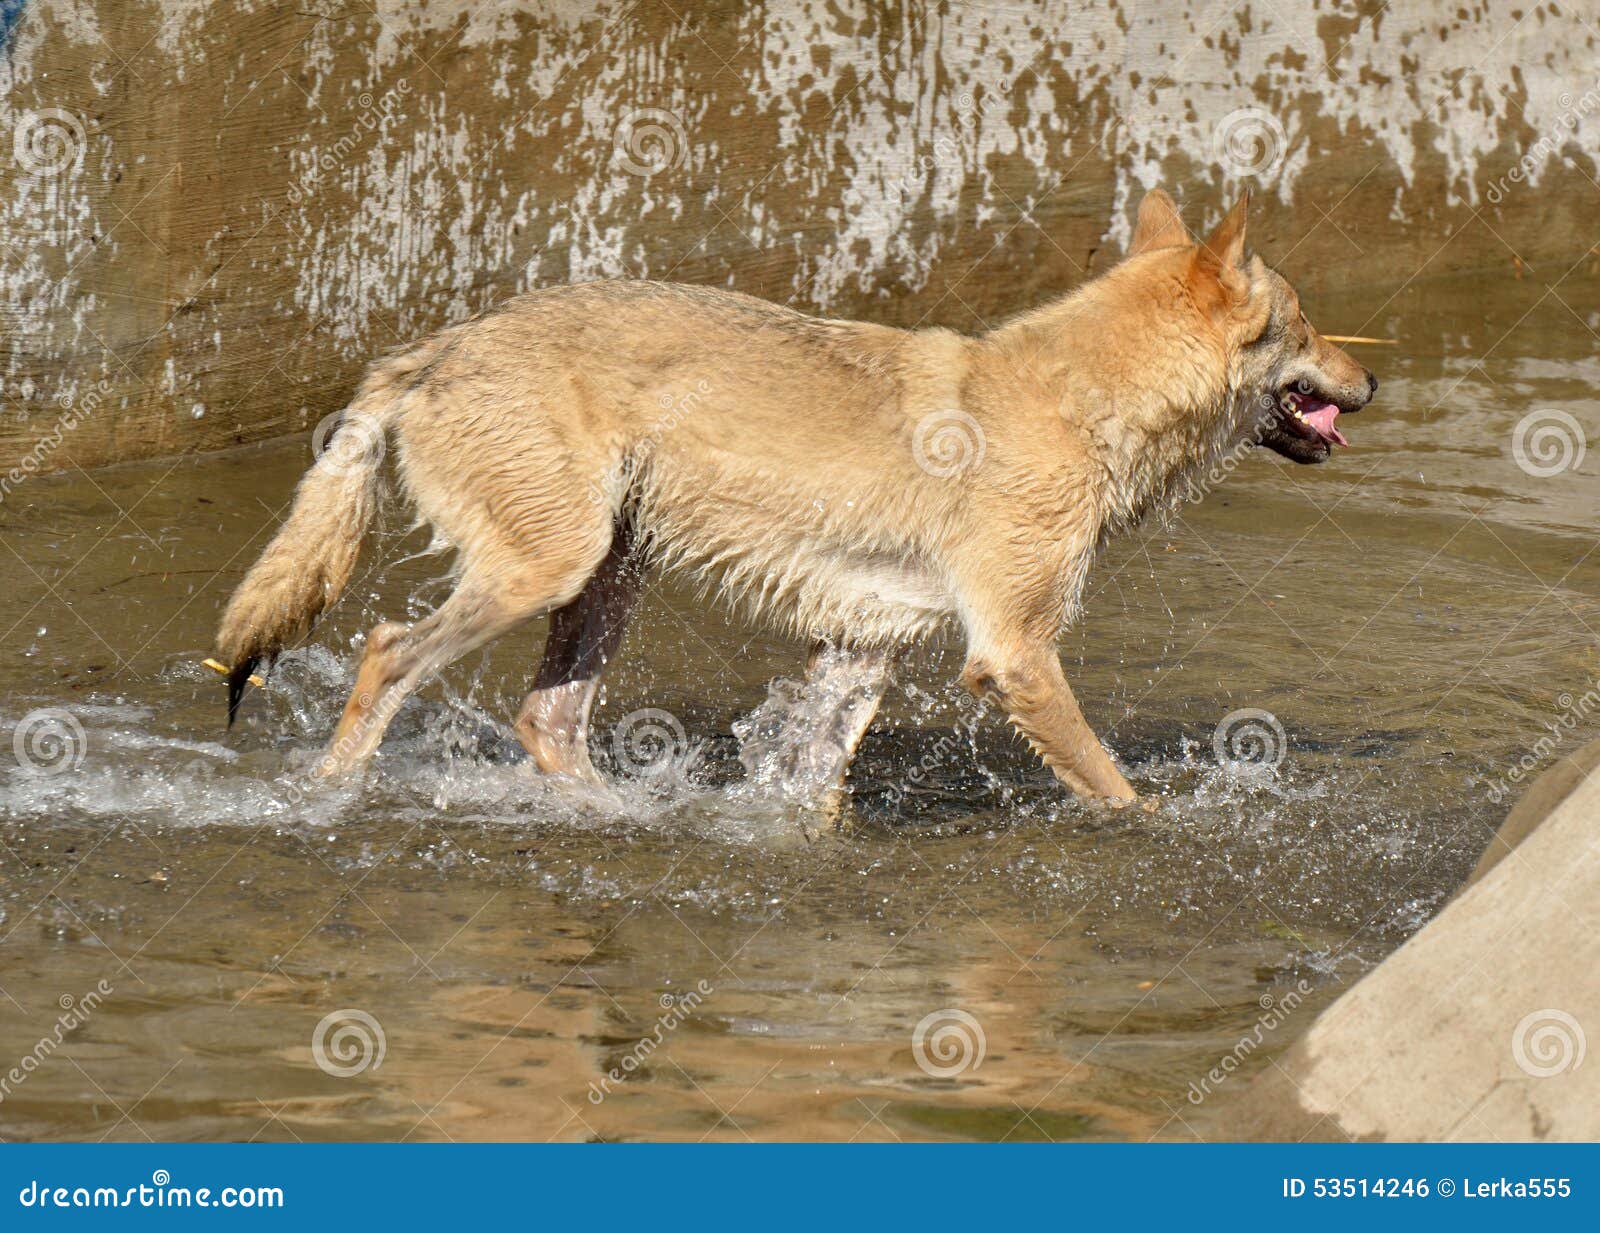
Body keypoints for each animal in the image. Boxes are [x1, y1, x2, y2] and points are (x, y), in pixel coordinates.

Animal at [215, 190, 1376, 805]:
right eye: (1309, 328)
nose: (1373, 382)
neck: (1077, 401)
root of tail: (434, 347)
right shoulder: (1014, 655)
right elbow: (1116, 791)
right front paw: (1168, 829)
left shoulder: (866, 647)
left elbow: (811, 787)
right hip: (545, 570)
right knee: (385, 655)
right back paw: (323, 803)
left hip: (607, 576)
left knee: (544, 719)